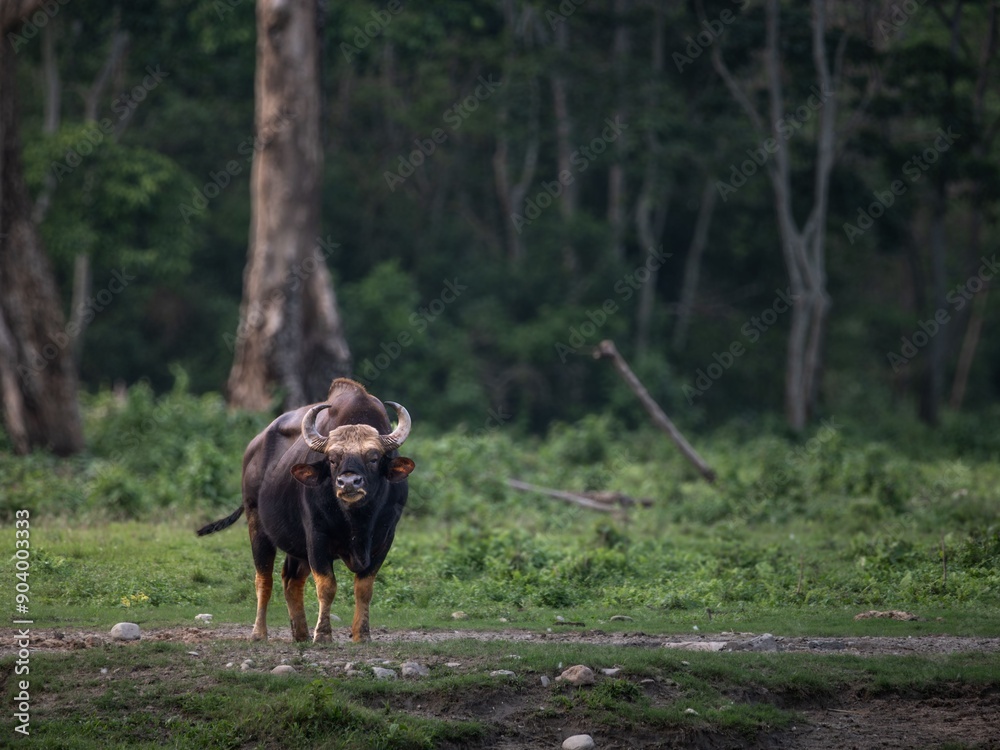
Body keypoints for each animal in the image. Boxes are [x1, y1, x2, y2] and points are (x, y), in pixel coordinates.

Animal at [197, 378, 415, 643]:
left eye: (373, 458)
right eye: (332, 459)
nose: (348, 483)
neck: (357, 521)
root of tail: (253, 450)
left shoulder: (385, 538)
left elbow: (364, 588)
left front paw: (361, 634)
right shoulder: (316, 536)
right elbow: (327, 586)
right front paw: (322, 634)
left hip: (296, 546)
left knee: (291, 580)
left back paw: (300, 633)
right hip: (256, 522)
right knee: (264, 579)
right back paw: (259, 633)